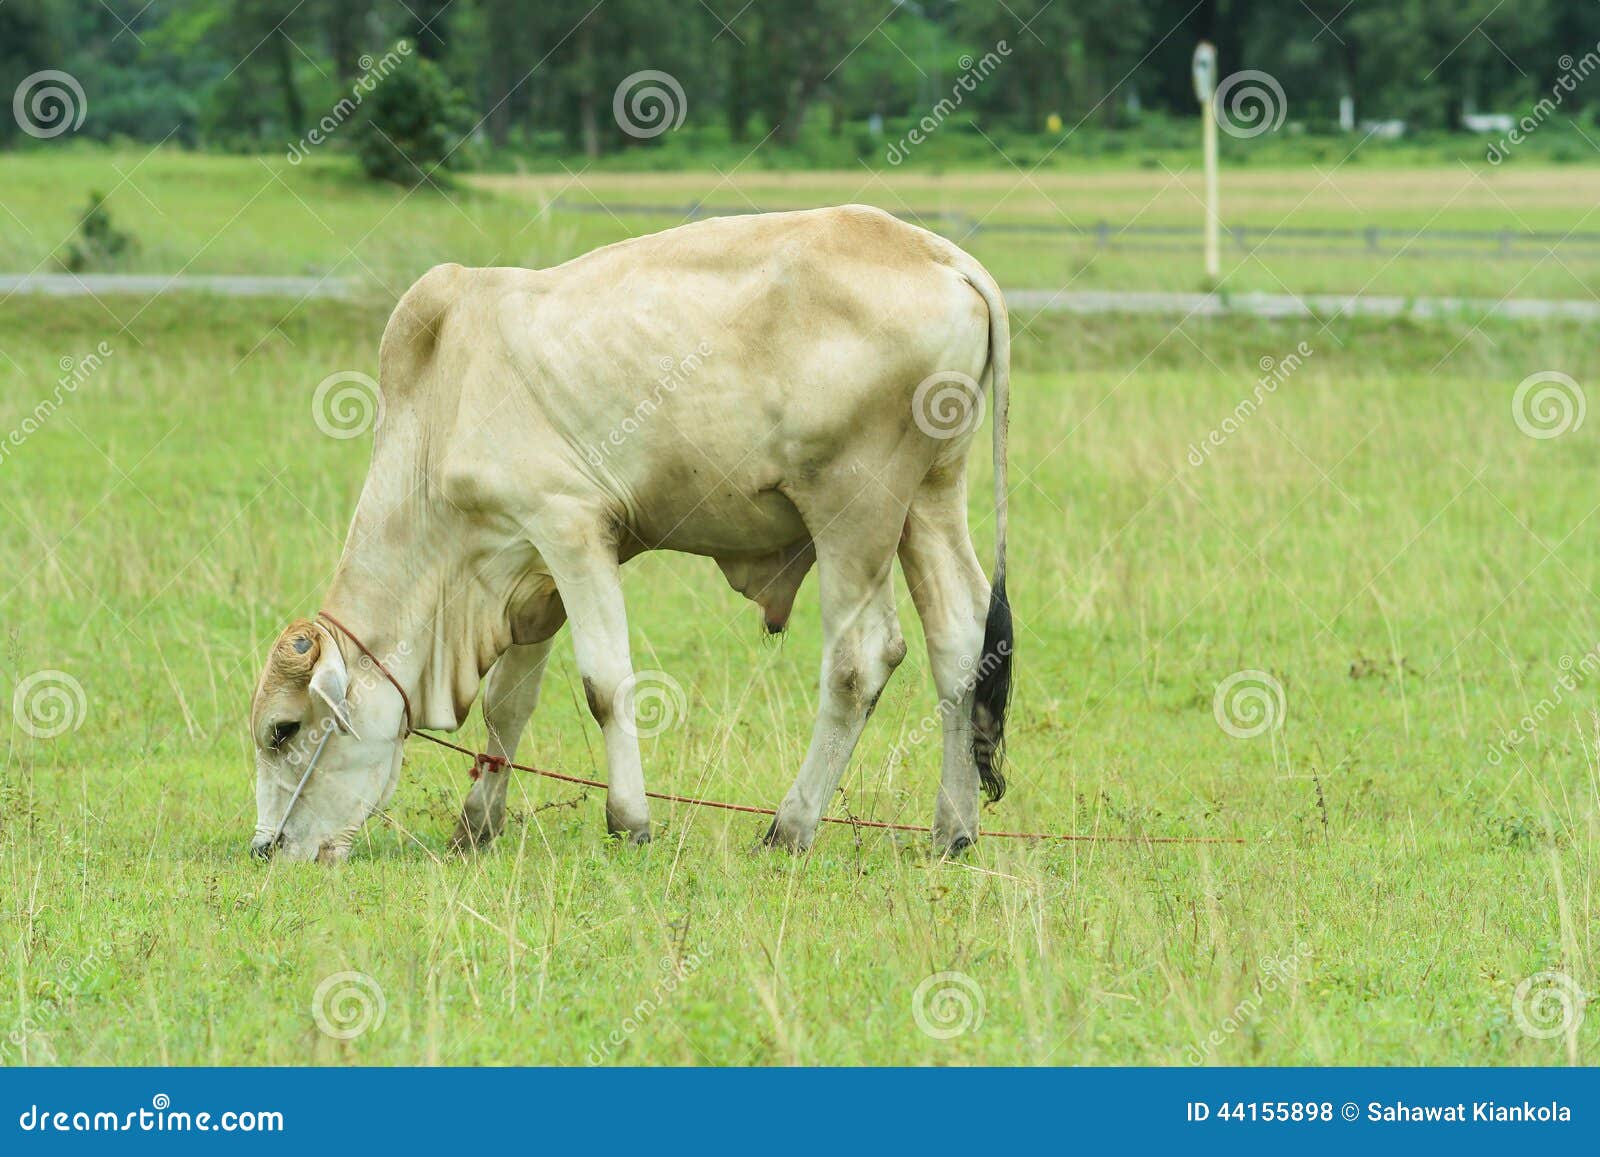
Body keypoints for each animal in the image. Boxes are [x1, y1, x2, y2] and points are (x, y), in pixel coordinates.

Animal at [249, 205, 1011, 863]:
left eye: (283, 730)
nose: (266, 849)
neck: (443, 403)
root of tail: (937, 253)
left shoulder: (571, 527)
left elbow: (605, 685)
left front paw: (630, 820)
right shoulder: (528, 574)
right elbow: (508, 702)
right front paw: (478, 824)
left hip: (854, 508)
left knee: (861, 661)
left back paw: (790, 827)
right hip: (930, 495)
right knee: (960, 640)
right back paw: (953, 829)